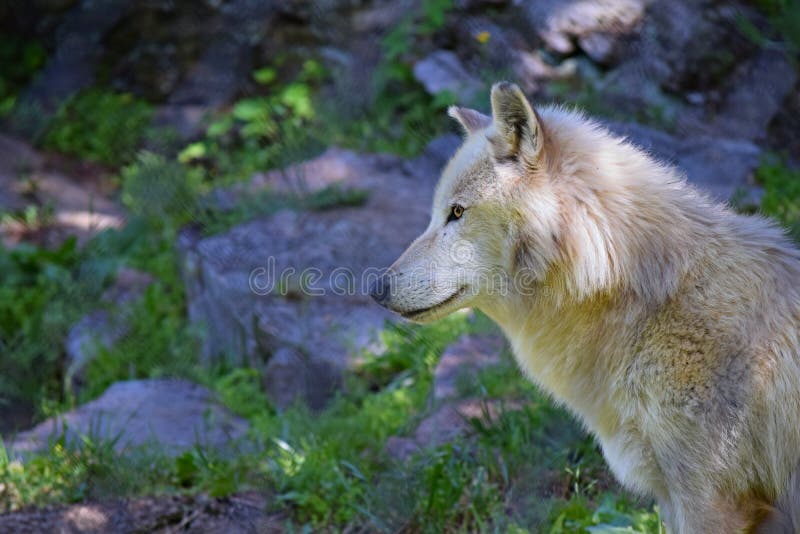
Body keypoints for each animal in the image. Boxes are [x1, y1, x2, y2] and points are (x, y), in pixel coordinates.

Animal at [370, 82, 800, 533]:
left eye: (456, 212)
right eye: (437, 214)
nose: (376, 289)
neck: (644, 306)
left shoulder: (711, 503)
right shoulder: (674, 499)